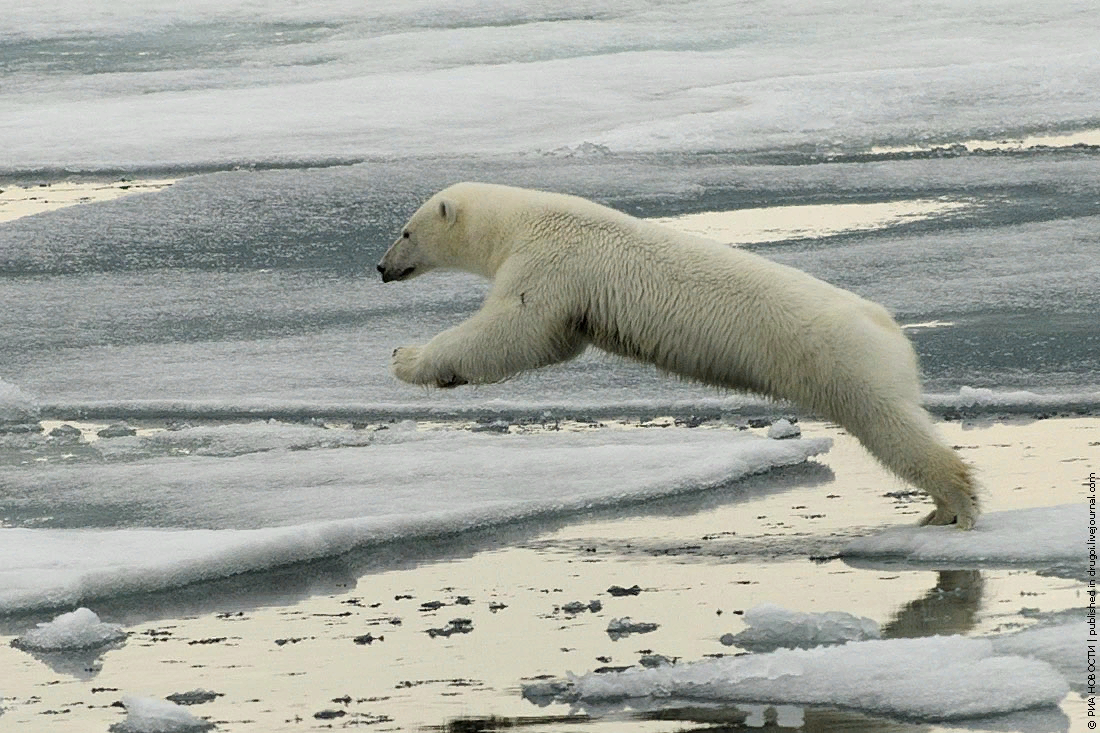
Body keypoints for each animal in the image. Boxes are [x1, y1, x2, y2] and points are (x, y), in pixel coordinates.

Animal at [376, 181, 981, 526]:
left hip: (843, 362)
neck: (524, 220)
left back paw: (952, 505)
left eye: (405, 231)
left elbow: (515, 330)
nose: (381, 268)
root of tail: (891, 331)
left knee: (890, 427)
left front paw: (406, 357)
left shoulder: (549, 266)